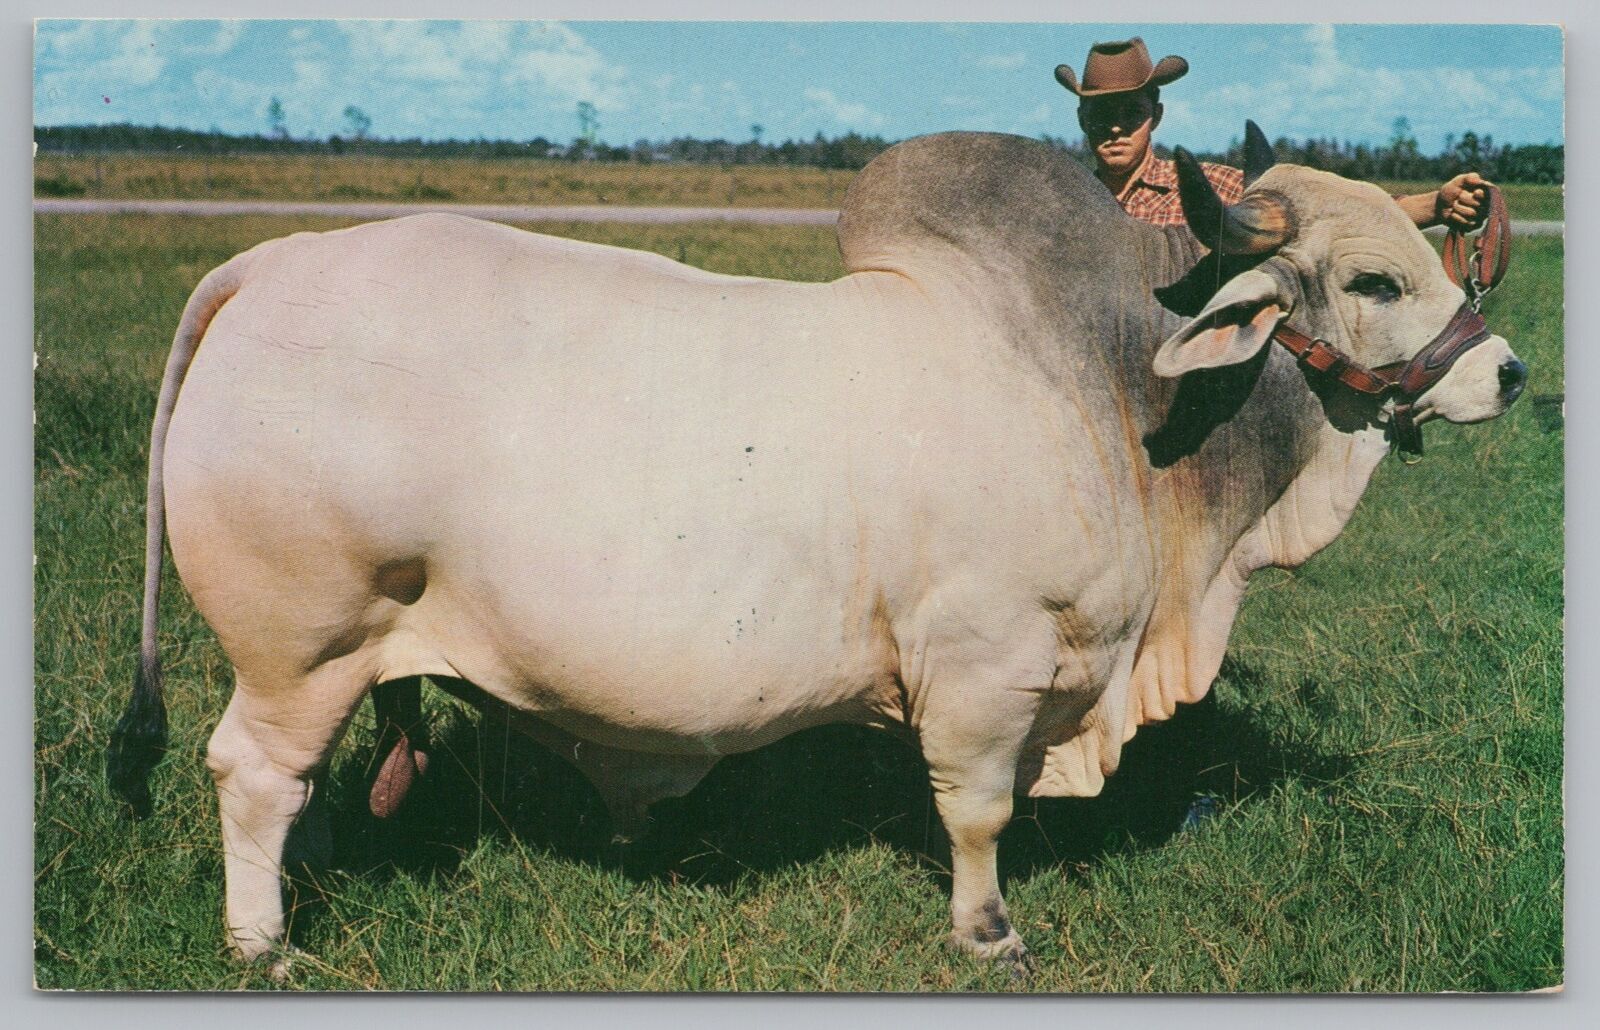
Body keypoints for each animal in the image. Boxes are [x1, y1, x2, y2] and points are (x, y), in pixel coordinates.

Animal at [106, 128, 1525, 975]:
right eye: (1374, 282)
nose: (1508, 371)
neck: (1105, 384)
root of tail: (272, 263)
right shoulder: (985, 667)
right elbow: (976, 811)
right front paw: (988, 936)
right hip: (303, 645)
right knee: (252, 775)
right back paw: (264, 945)